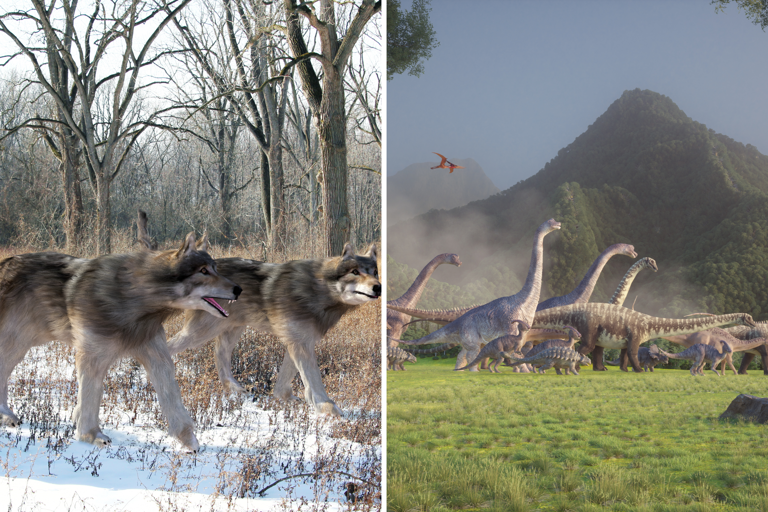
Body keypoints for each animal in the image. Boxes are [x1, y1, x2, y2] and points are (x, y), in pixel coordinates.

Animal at [166, 243, 381, 417]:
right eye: (355, 272)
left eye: (375, 272)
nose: (378, 287)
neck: (317, 290)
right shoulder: (300, 343)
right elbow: (314, 380)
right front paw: (327, 408)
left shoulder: (299, 341)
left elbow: (286, 380)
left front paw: (286, 399)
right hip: (200, 333)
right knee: (169, 346)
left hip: (233, 329)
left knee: (219, 353)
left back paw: (234, 389)